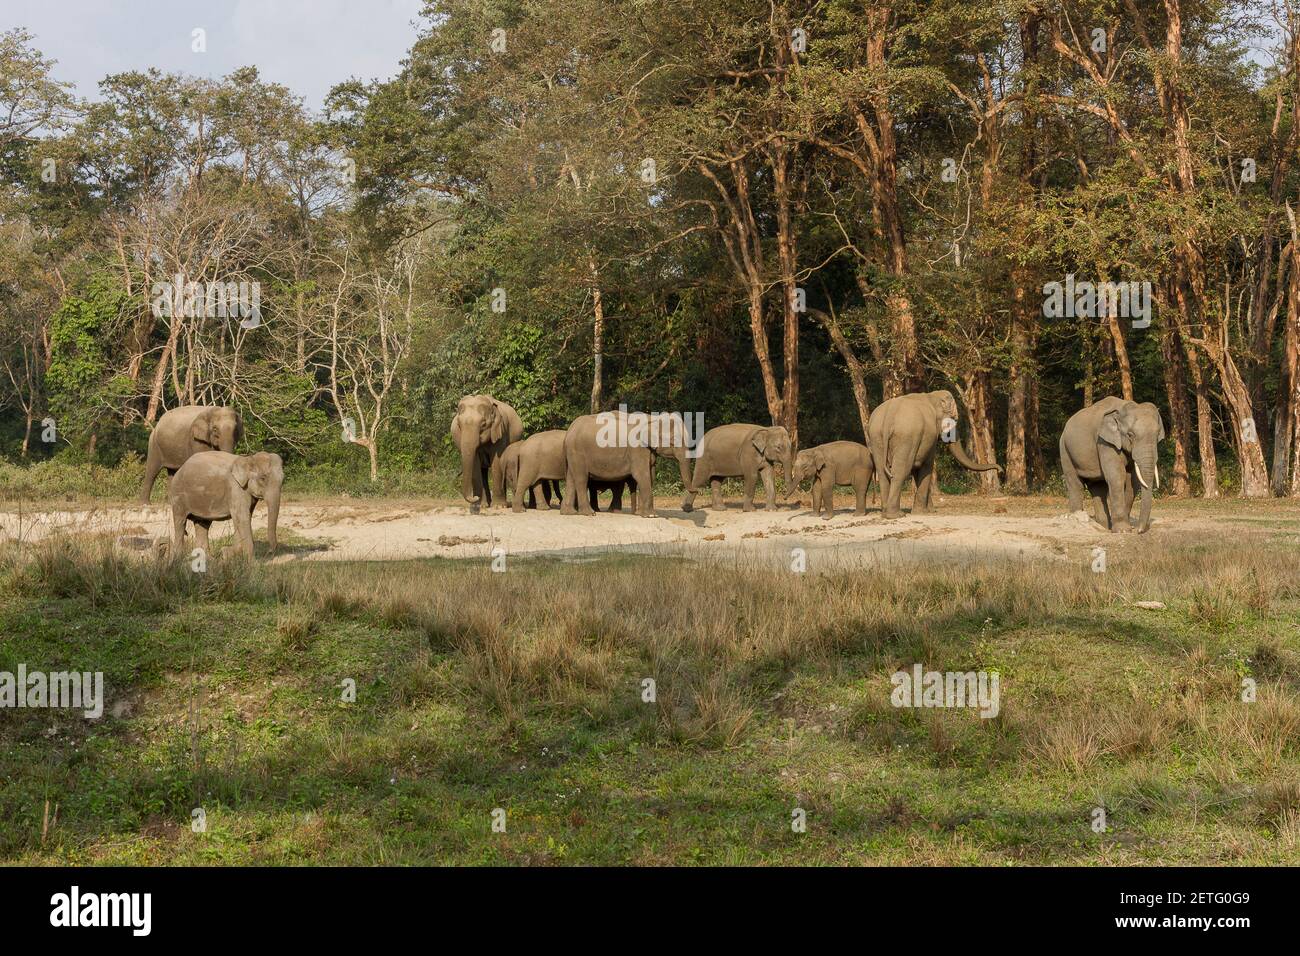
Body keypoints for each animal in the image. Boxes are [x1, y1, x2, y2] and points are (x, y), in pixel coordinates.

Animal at [561, 410, 693, 517]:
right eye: (674, 441)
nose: (695, 490)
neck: (653, 418)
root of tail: (569, 430)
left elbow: (651, 475)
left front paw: (641, 514)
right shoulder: (637, 449)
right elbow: (641, 475)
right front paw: (651, 516)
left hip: (572, 454)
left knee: (571, 478)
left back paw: (569, 513)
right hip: (578, 452)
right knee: (581, 479)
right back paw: (589, 513)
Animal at [868, 390, 1002, 519]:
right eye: (954, 419)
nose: (1000, 470)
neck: (931, 396)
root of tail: (888, 417)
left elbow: (917, 471)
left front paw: (930, 510)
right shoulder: (929, 439)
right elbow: (926, 467)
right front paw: (922, 512)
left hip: (877, 437)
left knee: (883, 473)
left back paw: (885, 514)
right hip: (906, 438)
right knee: (900, 472)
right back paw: (895, 515)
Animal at [1060, 396, 1165, 533]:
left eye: (1157, 435)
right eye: (1130, 435)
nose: (1139, 530)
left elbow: (1133, 481)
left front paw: (1126, 528)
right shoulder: (1105, 442)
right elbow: (1117, 476)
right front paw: (1123, 530)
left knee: (1097, 487)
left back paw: (1103, 526)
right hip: (1065, 449)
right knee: (1075, 484)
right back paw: (1078, 520)